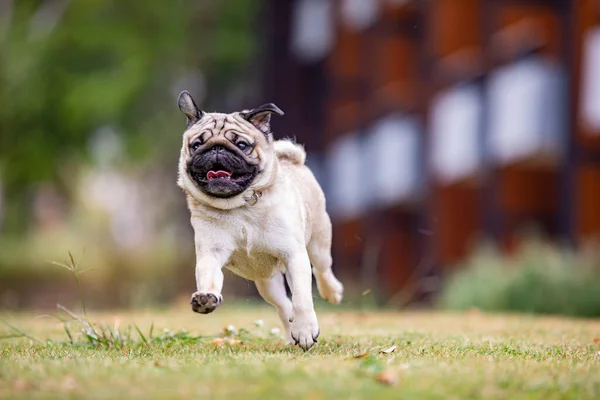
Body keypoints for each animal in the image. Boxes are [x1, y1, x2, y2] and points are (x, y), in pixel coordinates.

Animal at [175, 90, 342, 350]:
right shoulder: (211, 254)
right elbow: (208, 277)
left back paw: (331, 293)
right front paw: (206, 298)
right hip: (267, 283)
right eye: (197, 145)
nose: (216, 149)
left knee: (322, 270)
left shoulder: (294, 256)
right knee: (284, 306)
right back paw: (290, 334)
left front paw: (306, 329)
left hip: (318, 242)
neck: (239, 206)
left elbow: (302, 298)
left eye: (242, 145)